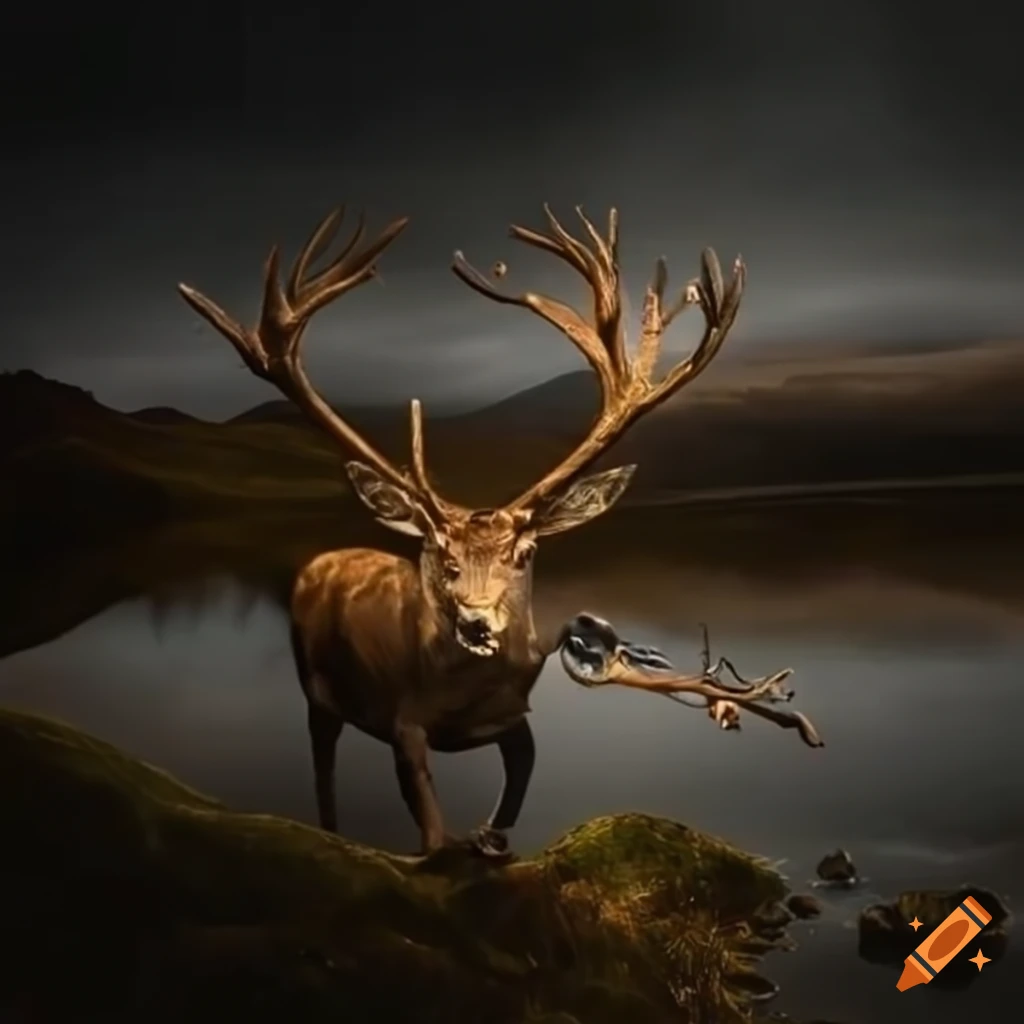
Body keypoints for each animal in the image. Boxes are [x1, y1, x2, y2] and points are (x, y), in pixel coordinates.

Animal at [178, 200, 799, 859]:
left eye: (524, 552)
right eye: (439, 555)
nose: (478, 622)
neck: (463, 697)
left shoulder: (515, 718)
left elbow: (516, 788)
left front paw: (491, 840)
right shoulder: (403, 721)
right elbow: (429, 826)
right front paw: (448, 846)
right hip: (314, 690)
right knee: (323, 772)